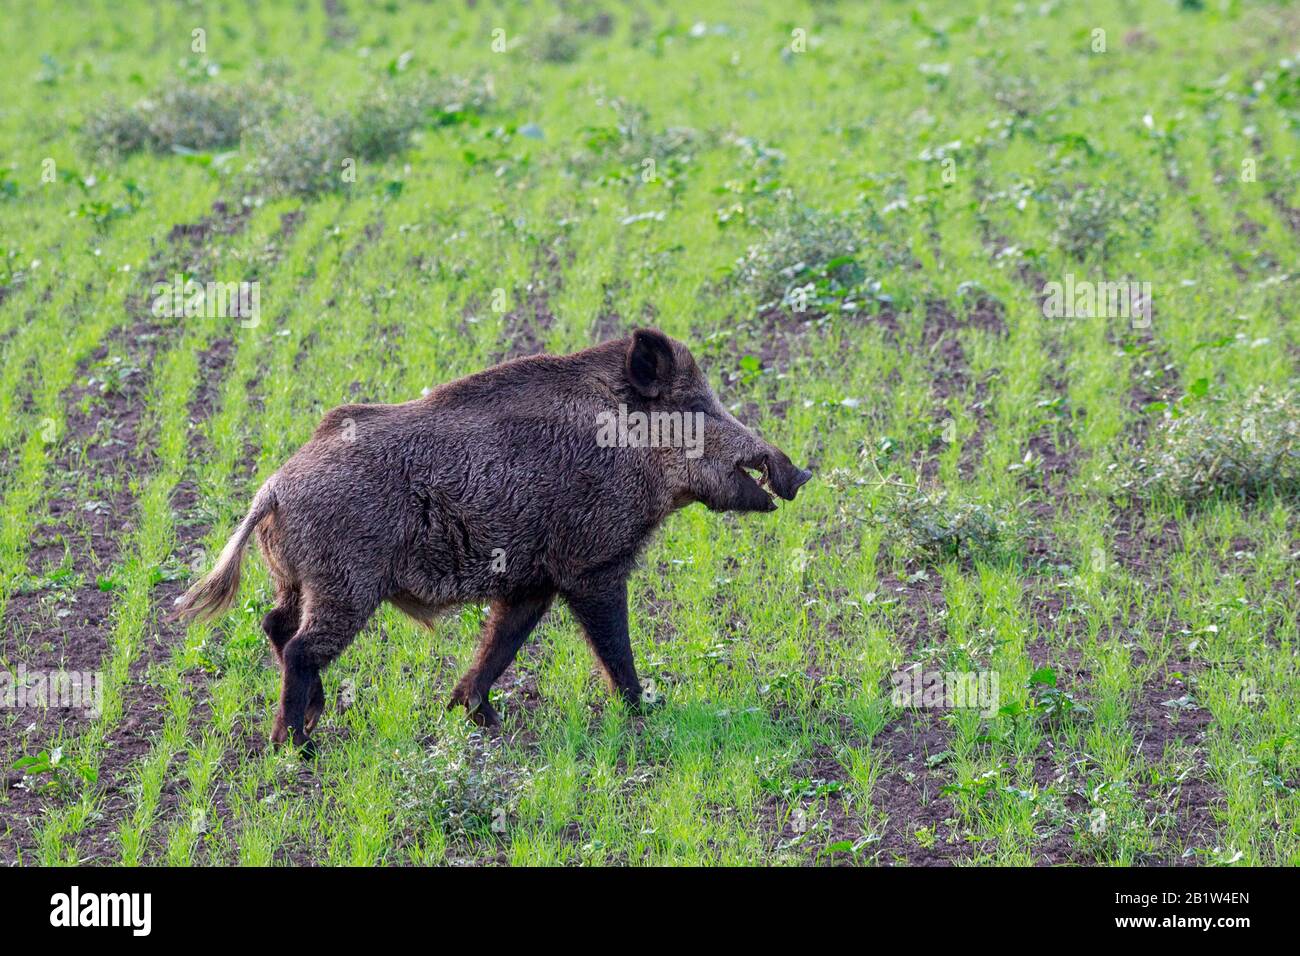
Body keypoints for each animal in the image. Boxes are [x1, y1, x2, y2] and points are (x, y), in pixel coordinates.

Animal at [173, 329, 812, 752]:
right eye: (697, 405)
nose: (800, 473)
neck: (627, 448)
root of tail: (273, 488)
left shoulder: (533, 580)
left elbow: (501, 643)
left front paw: (475, 717)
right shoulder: (592, 563)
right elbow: (613, 646)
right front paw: (646, 712)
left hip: (297, 579)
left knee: (275, 626)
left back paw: (312, 721)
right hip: (346, 582)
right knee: (302, 646)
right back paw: (296, 747)